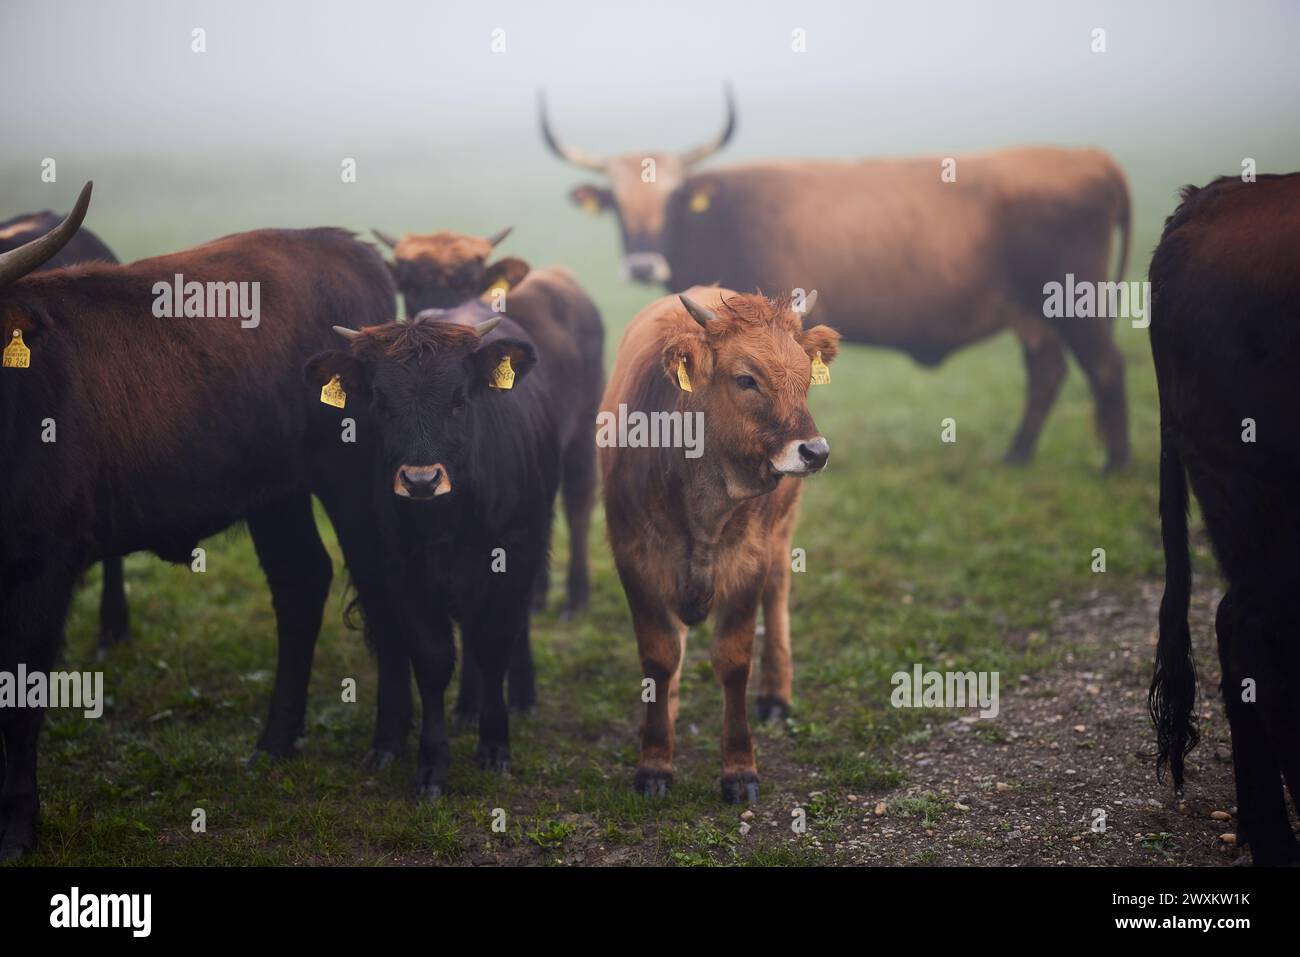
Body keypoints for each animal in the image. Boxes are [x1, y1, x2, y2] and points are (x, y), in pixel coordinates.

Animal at [305, 305, 562, 798]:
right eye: (380, 402)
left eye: (459, 398)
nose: (421, 480)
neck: (446, 521)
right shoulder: (402, 576)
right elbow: (432, 660)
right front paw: (431, 765)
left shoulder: (513, 563)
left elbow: (494, 647)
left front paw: (495, 746)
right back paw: (466, 708)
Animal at [540, 91, 1132, 470]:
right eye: (617, 205)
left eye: (672, 199)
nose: (643, 265)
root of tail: (1092, 158)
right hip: (1031, 312)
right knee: (1048, 370)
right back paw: (1017, 454)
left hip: (1073, 302)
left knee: (1104, 366)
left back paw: (1115, 463)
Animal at [600, 286, 839, 803]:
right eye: (746, 378)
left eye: (805, 376)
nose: (815, 452)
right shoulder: (633, 557)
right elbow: (659, 654)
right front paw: (654, 760)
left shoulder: (748, 559)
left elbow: (733, 661)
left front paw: (740, 769)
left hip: (780, 534)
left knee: (778, 593)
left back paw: (776, 694)